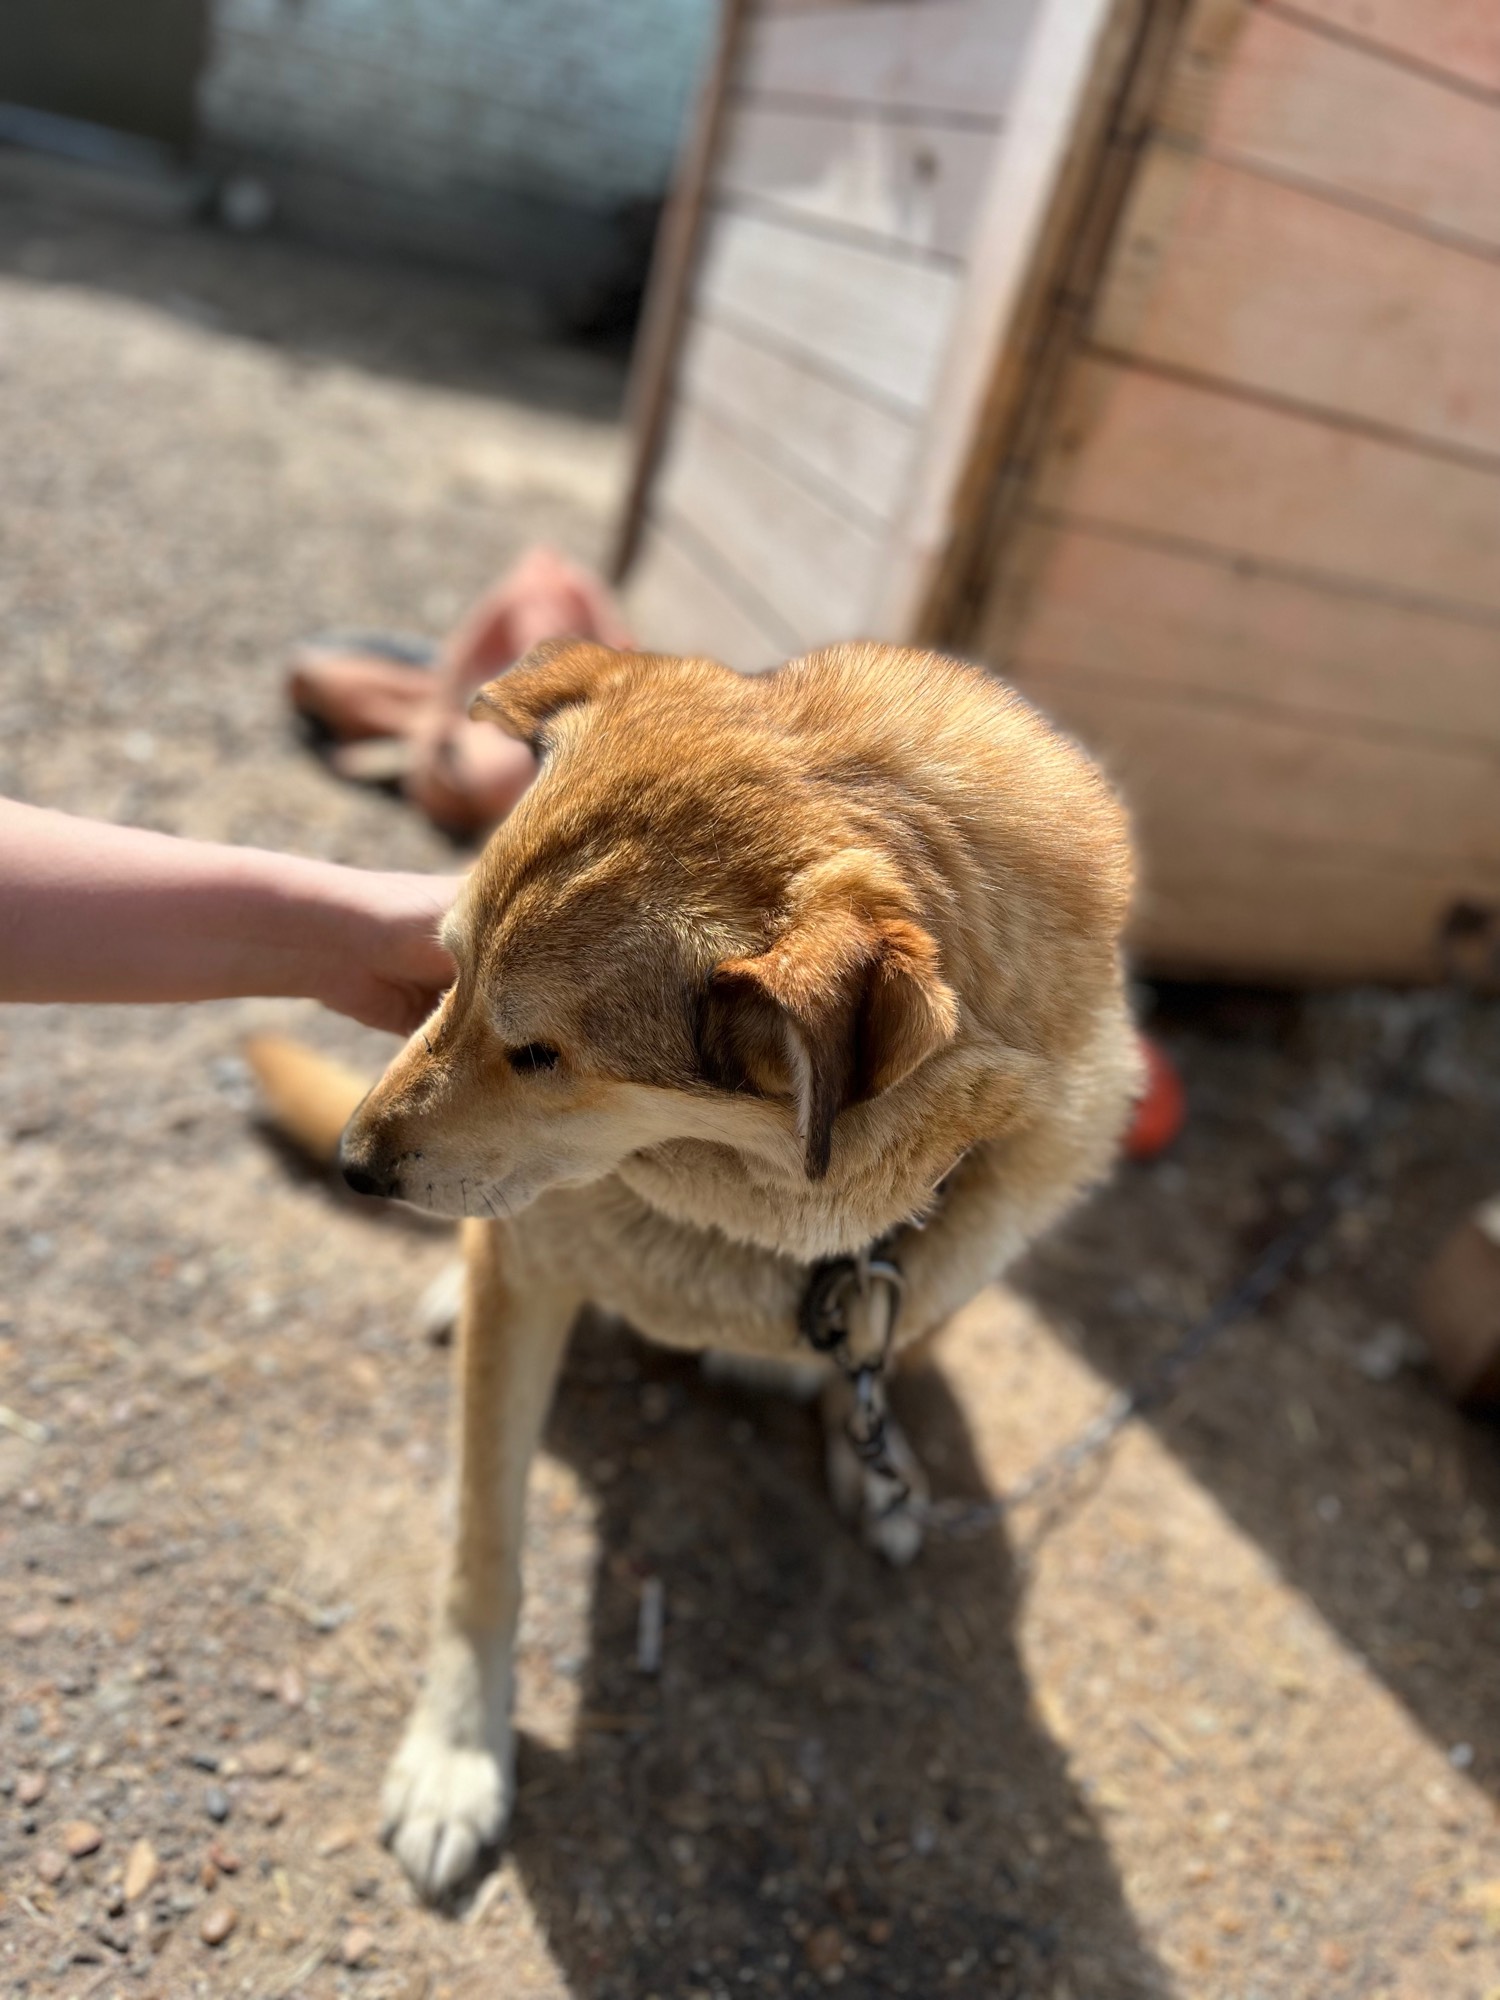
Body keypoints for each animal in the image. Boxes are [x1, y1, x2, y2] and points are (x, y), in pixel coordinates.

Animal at [253, 636, 1136, 1888]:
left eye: (540, 1053)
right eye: (448, 967)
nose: (352, 1163)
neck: (744, 1214)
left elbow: (878, 1353)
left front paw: (876, 1461)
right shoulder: (526, 1273)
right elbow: (485, 1542)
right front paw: (457, 1755)